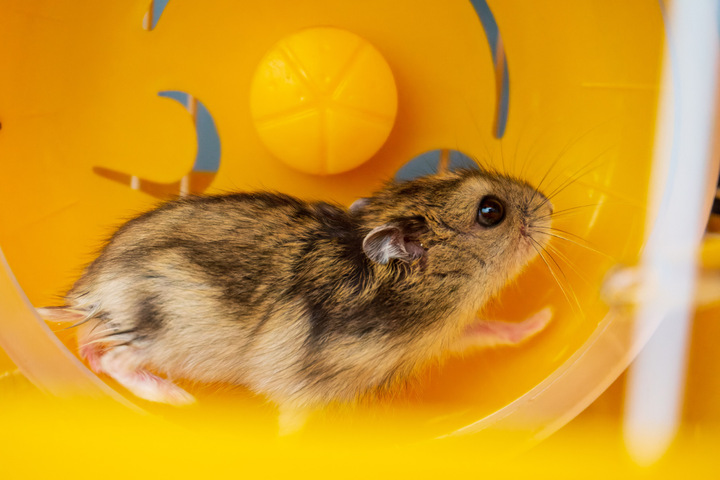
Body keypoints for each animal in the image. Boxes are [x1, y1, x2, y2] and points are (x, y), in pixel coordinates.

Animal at [39, 168, 553, 433]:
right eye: (491, 211)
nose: (548, 205)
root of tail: (87, 295)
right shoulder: (304, 387)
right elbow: (294, 422)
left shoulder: (443, 336)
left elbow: (488, 330)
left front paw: (544, 319)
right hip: (159, 329)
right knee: (112, 360)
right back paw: (180, 400)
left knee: (90, 347)